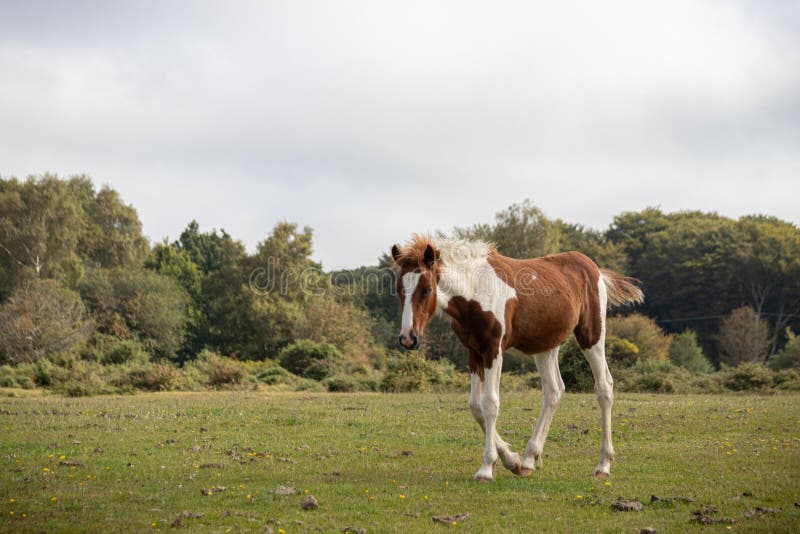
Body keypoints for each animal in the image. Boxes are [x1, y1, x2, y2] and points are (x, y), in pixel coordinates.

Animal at [390, 235, 643, 482]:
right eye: (399, 289)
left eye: (426, 290)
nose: (408, 338)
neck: (475, 291)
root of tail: (595, 269)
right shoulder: (474, 352)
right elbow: (475, 406)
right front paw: (513, 461)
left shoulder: (494, 350)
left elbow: (490, 404)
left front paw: (487, 468)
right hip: (545, 346)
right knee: (553, 391)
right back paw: (530, 459)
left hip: (591, 337)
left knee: (604, 387)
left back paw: (603, 465)